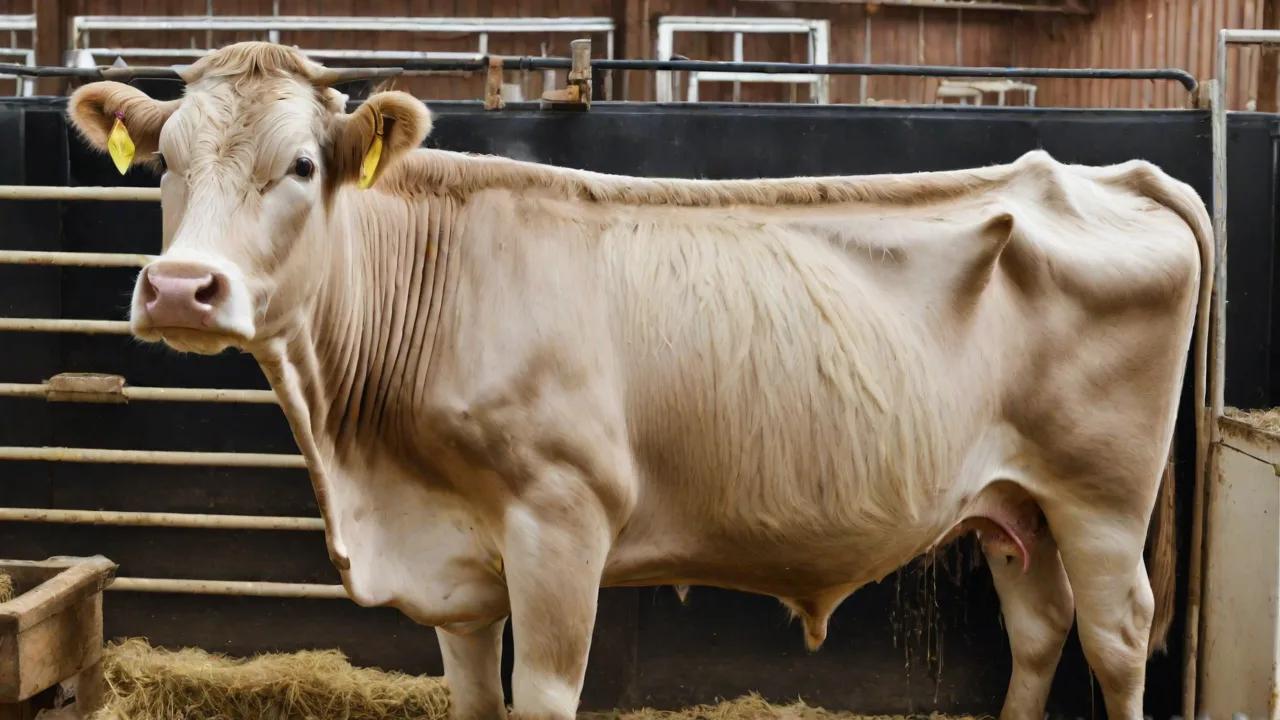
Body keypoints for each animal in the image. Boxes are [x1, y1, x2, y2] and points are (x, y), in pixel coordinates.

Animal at [64, 41, 1211, 720]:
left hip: (1101, 498)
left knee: (1115, 640)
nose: (181, 288)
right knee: (1039, 629)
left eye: (302, 167)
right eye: (164, 159)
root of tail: (1092, 173)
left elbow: (544, 695)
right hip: (1013, 502)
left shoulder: (561, 525)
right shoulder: (459, 574)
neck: (364, 465)